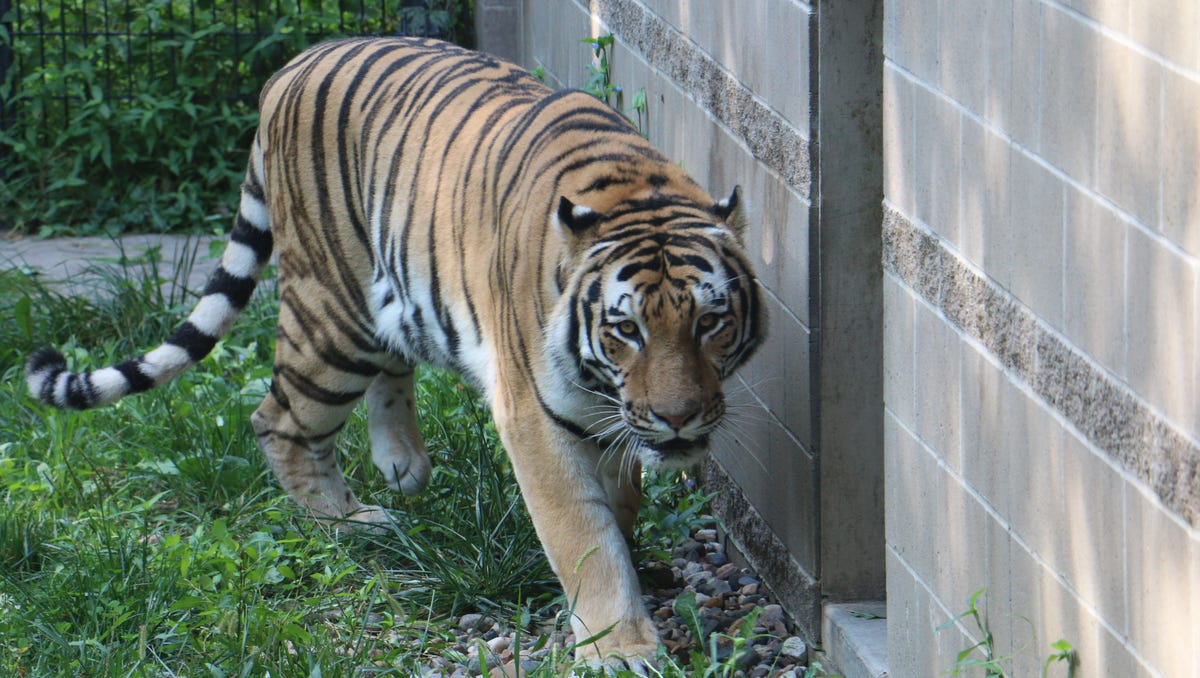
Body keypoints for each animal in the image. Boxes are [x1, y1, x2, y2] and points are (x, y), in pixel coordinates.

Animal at [26, 36, 765, 666]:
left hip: (394, 296)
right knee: (277, 417)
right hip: (332, 316)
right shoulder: (536, 418)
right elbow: (584, 537)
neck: (640, 190)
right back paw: (347, 521)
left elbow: (620, 503)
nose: (677, 419)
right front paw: (621, 647)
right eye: (626, 329)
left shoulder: (609, 420)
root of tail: (288, 70)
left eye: (710, 322)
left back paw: (402, 464)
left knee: (388, 368)